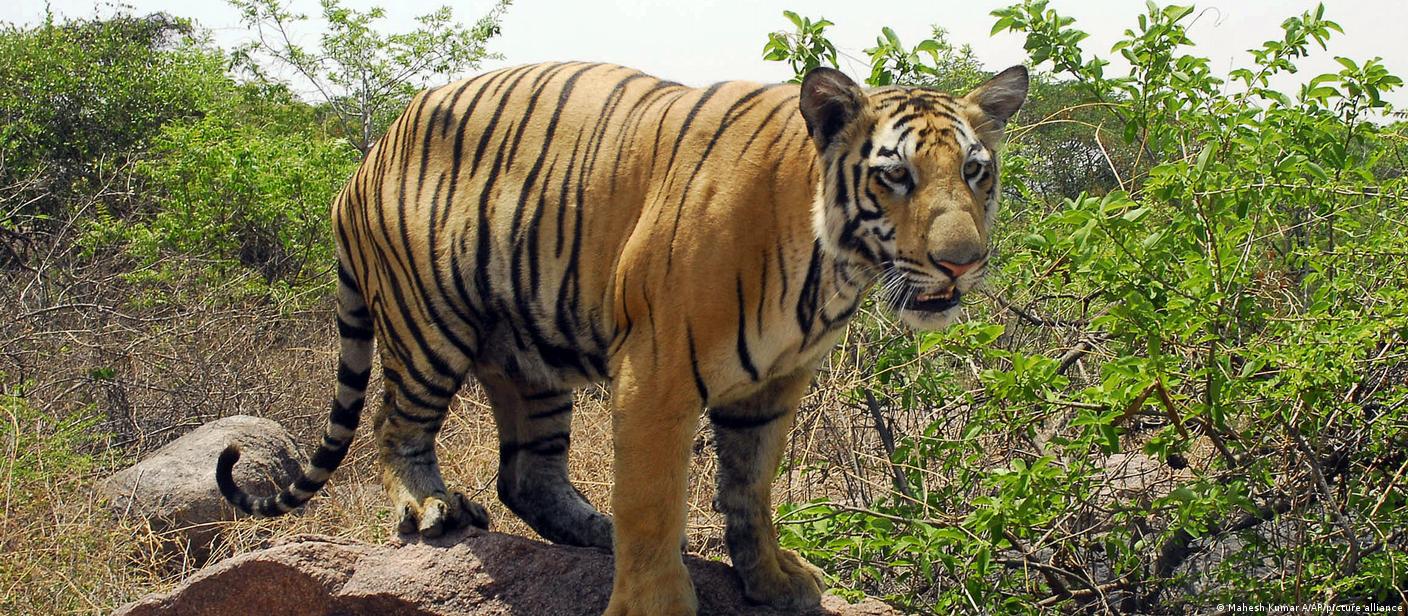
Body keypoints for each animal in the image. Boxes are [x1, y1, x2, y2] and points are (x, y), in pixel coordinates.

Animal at [216, 61, 1027, 615]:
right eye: (897, 176)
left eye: (975, 172)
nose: (963, 261)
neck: (831, 271)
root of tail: (364, 161)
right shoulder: (658, 373)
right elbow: (653, 499)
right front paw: (655, 602)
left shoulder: (772, 387)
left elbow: (751, 488)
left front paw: (770, 579)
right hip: (427, 325)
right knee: (396, 426)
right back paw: (431, 507)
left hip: (530, 357)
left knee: (528, 475)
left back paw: (593, 533)